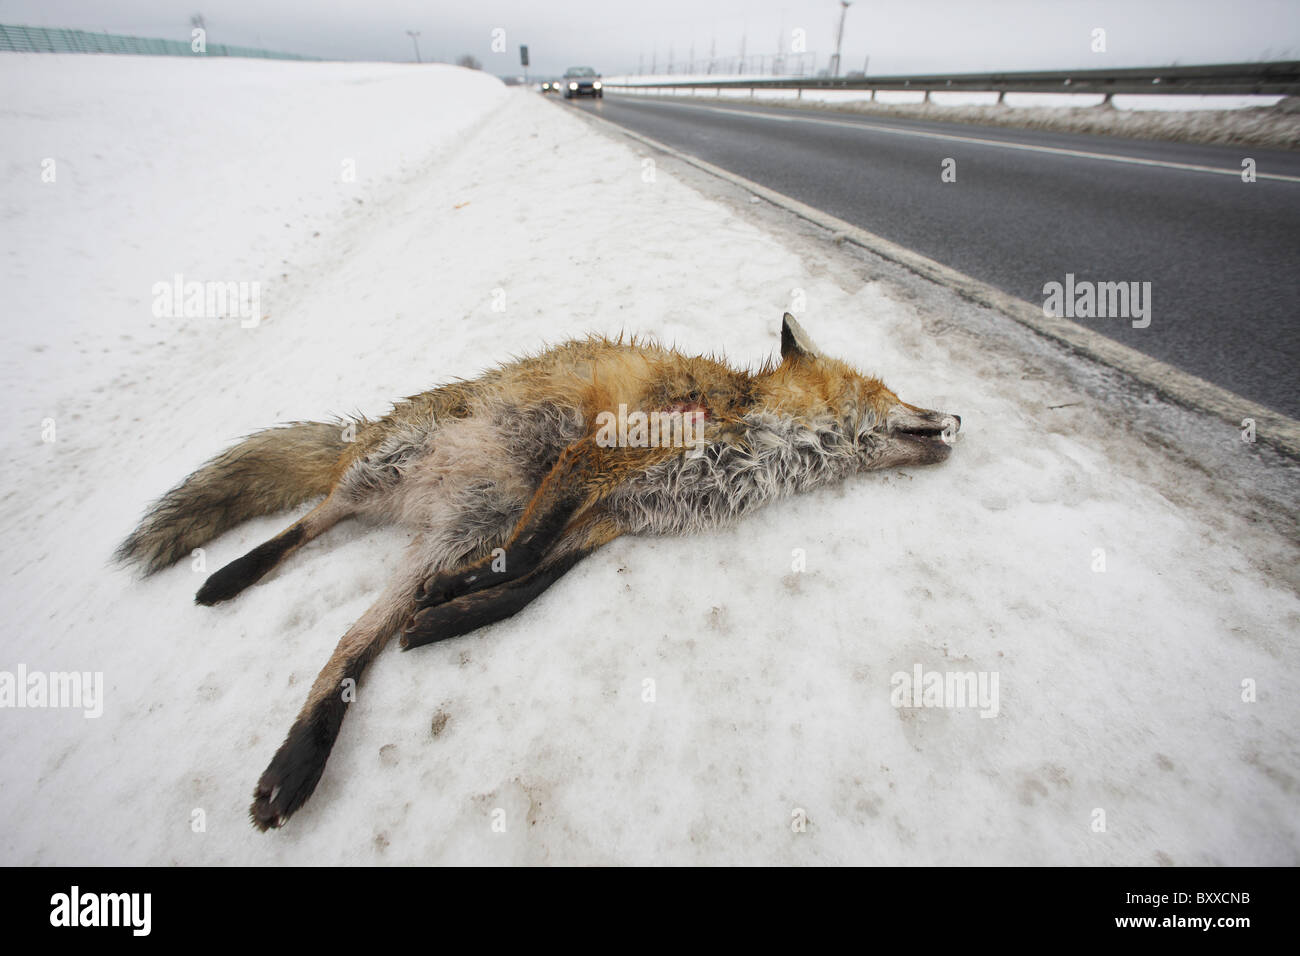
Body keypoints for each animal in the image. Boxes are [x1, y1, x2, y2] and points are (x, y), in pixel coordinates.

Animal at [116, 314, 960, 830]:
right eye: (894, 393)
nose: (958, 418)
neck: (748, 437)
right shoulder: (600, 452)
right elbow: (520, 559)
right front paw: (453, 597)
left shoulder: (606, 519)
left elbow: (523, 589)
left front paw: (446, 616)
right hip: (388, 474)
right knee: (315, 516)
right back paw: (230, 576)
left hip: (454, 527)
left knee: (352, 641)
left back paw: (296, 764)